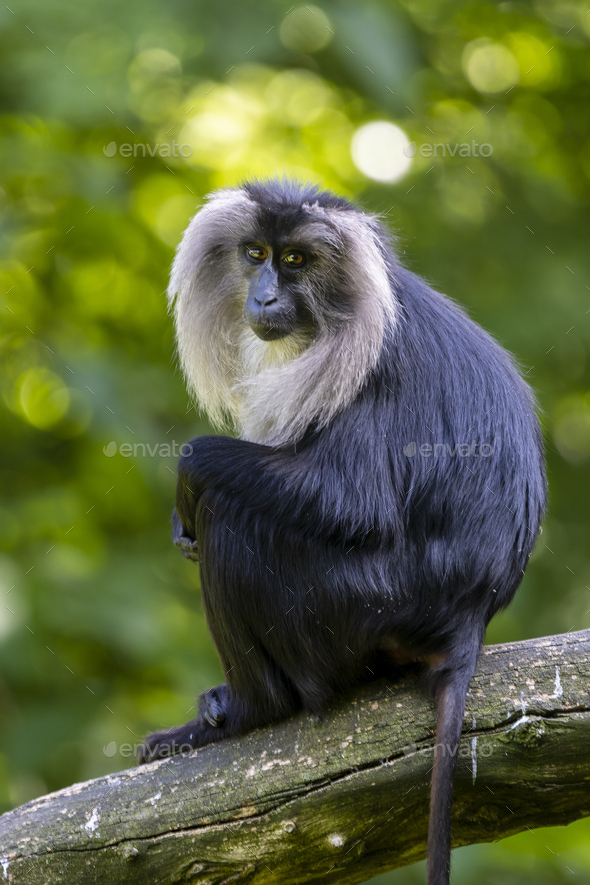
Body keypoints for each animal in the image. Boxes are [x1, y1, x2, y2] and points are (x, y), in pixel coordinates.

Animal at [137, 179, 547, 885]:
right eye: (255, 254)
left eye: (296, 261)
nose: (264, 296)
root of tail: (468, 621)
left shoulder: (374, 366)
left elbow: (353, 505)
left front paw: (189, 482)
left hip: (351, 604)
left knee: (233, 516)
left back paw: (242, 716)